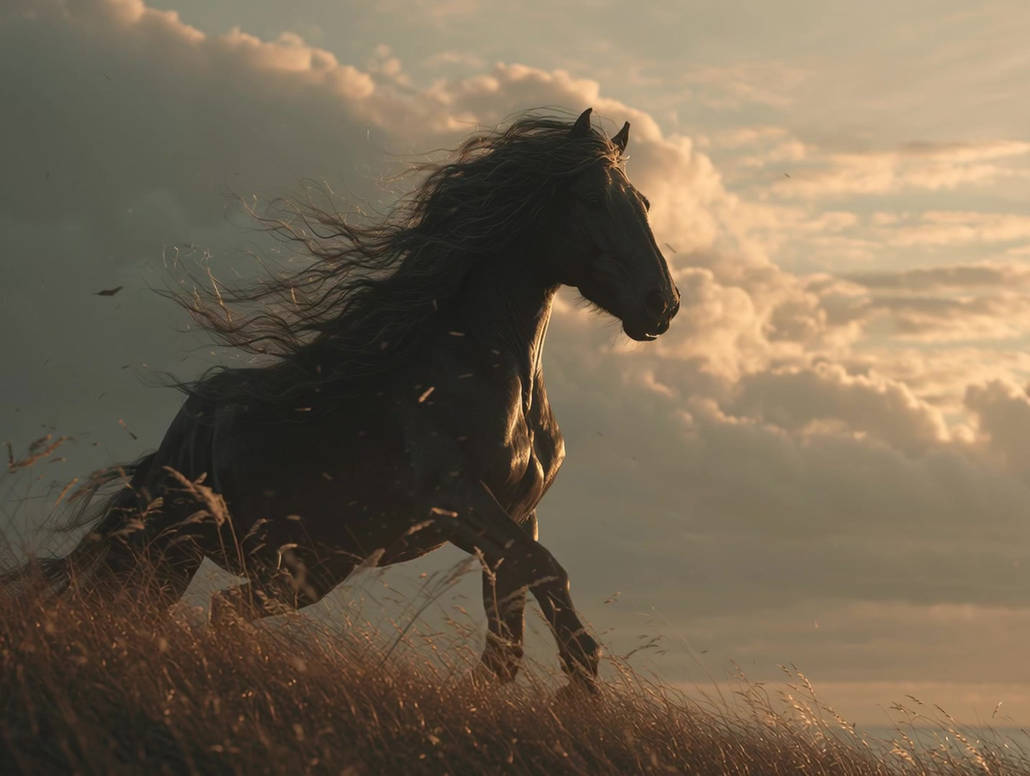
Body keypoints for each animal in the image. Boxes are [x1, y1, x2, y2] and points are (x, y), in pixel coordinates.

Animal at [6, 108, 679, 689]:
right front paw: (578, 686)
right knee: (147, 608)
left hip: (304, 570)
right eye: (591, 199)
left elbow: (509, 635)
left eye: (644, 203)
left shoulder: (515, 516)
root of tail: (177, 436)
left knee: (221, 608)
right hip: (175, 547)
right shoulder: (459, 505)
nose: (662, 305)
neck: (492, 373)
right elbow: (545, 574)